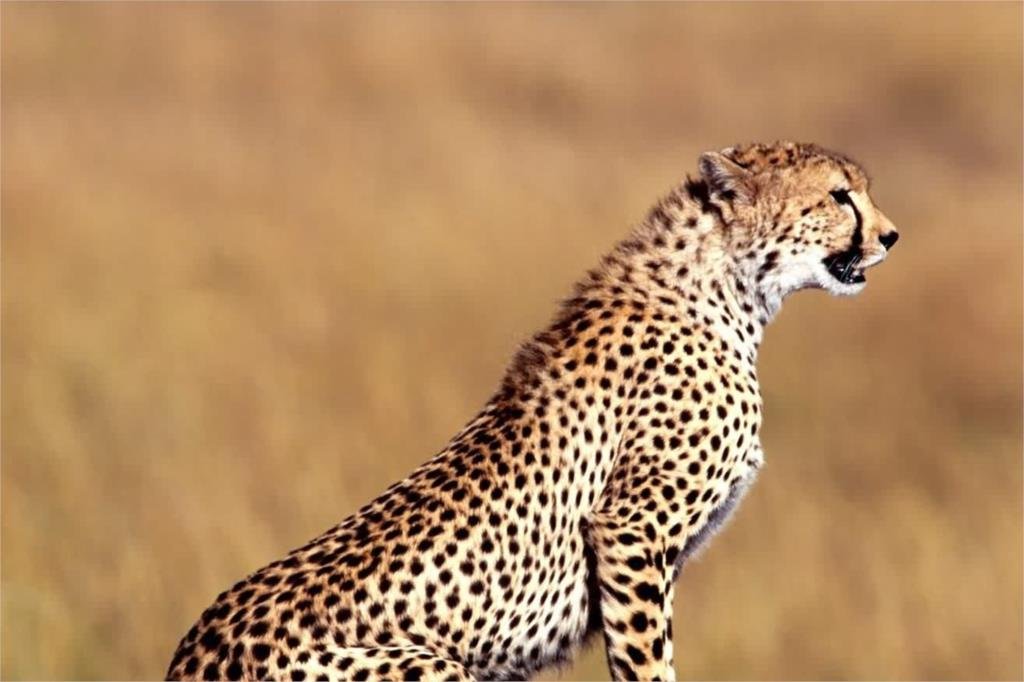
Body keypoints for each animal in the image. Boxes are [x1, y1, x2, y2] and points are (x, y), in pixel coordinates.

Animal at [166, 141, 899, 681]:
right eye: (839, 195)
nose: (891, 236)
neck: (729, 288)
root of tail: (196, 649)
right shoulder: (629, 531)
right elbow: (648, 662)